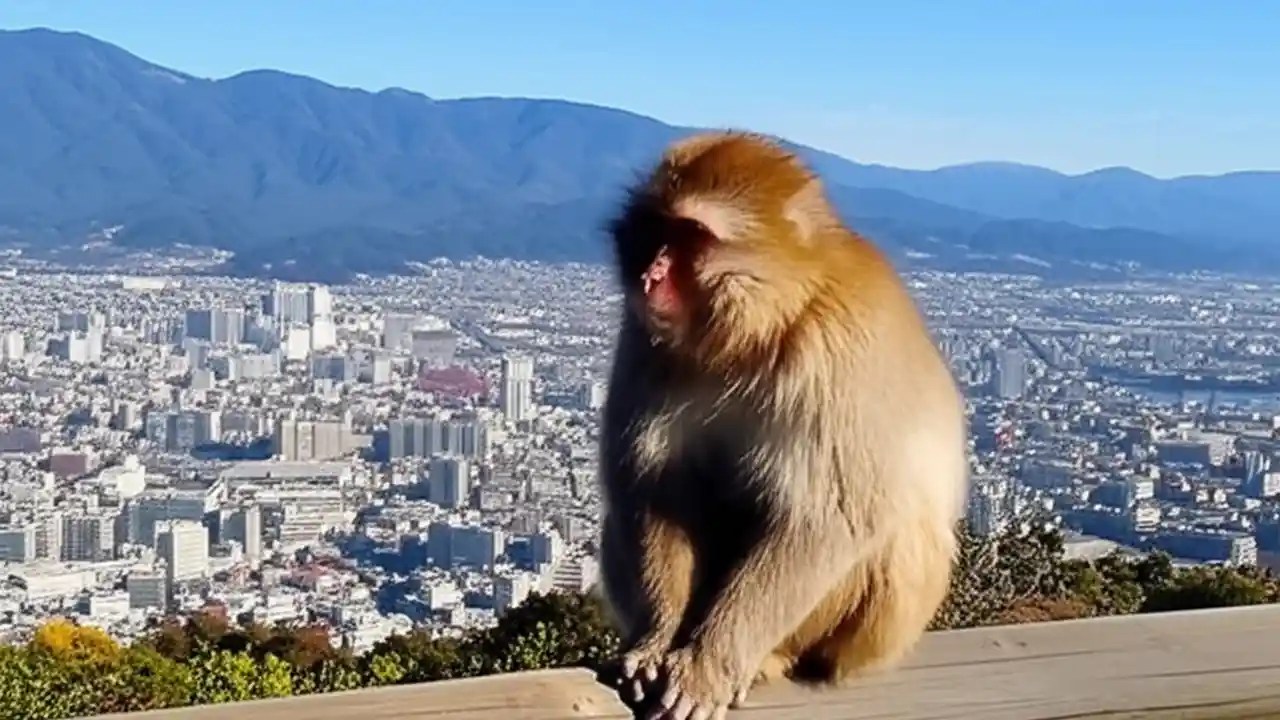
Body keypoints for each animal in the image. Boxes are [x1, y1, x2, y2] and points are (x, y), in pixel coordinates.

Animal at [595, 131, 969, 720]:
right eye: (656, 230)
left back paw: (770, 659)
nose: (651, 275)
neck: (757, 332)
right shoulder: (646, 338)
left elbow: (828, 520)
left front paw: (707, 664)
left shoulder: (841, 349)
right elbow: (651, 488)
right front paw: (656, 642)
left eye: (691, 235)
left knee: (894, 538)